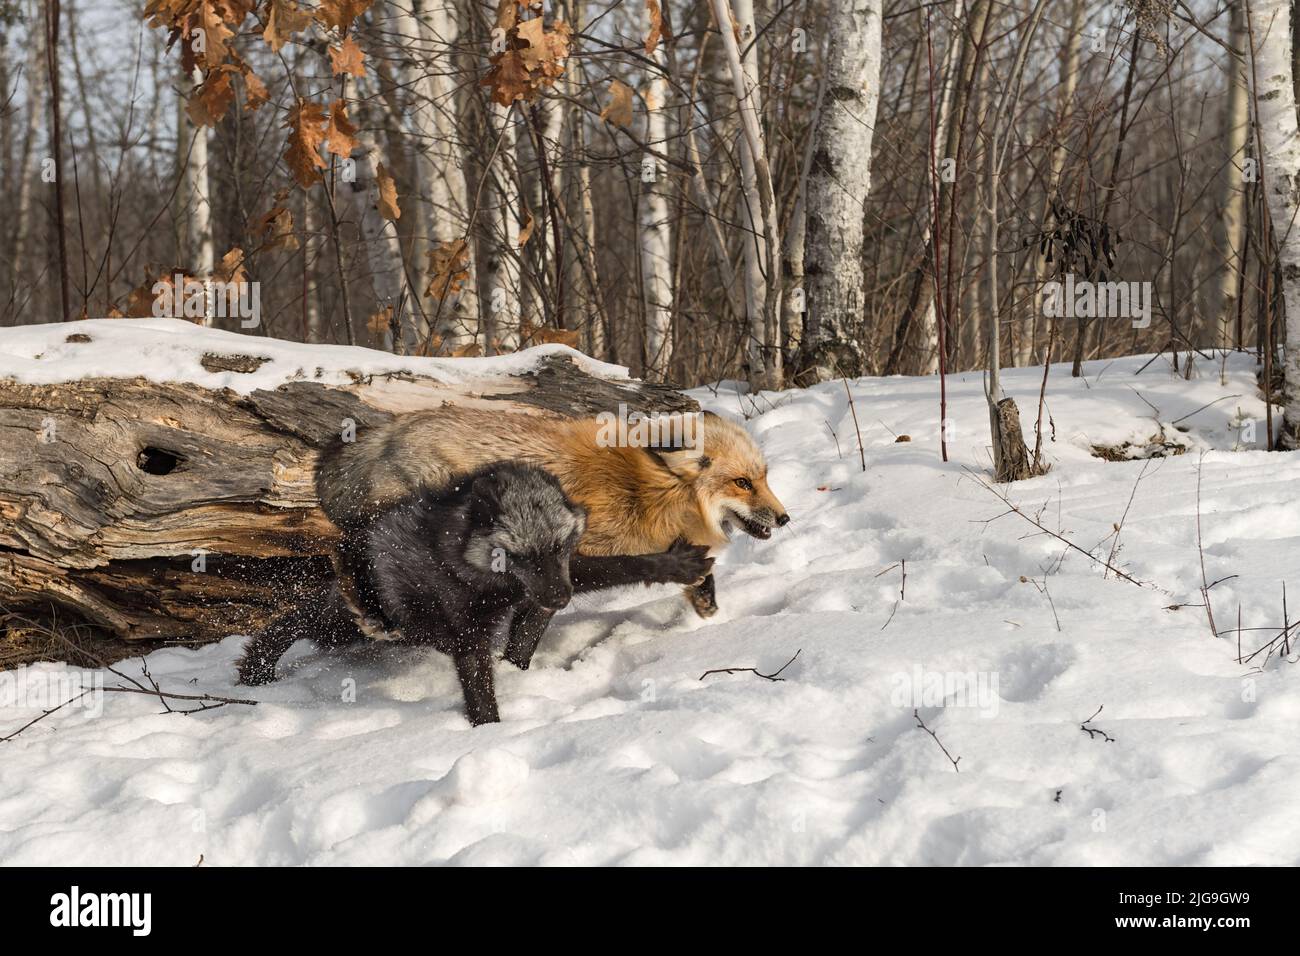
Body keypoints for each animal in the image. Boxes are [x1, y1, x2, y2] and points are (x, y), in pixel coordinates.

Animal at [238, 463, 713, 724]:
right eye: (516, 554)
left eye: (559, 548)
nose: (559, 600)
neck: (489, 578)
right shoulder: (470, 636)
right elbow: (480, 691)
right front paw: (488, 732)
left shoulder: (557, 578)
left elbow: (622, 565)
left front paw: (675, 565)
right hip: (349, 629)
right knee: (295, 621)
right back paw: (255, 669)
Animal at [316, 405, 788, 623]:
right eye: (742, 483)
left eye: (764, 477)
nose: (785, 518)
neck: (650, 492)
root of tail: (388, 432)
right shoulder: (563, 556)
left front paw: (706, 601)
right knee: (349, 552)